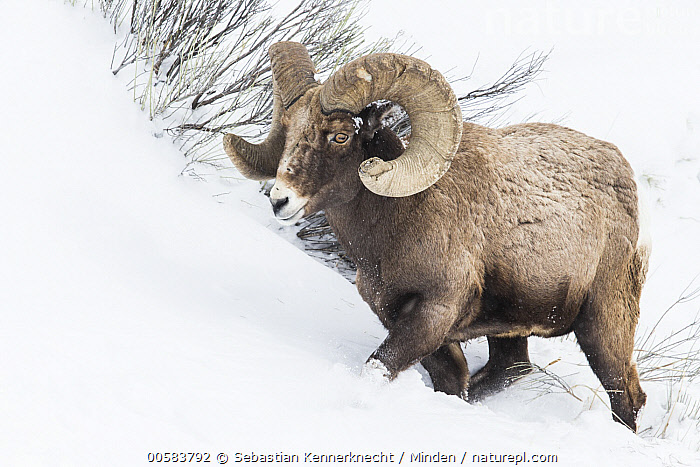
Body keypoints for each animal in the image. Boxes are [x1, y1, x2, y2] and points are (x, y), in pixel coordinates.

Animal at [223, 41, 650, 431]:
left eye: (340, 136)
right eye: (288, 130)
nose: (280, 200)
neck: (392, 232)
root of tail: (623, 174)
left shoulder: (433, 313)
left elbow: (380, 367)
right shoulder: (411, 323)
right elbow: (452, 381)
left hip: (604, 323)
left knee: (625, 395)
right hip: (512, 329)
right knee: (511, 368)